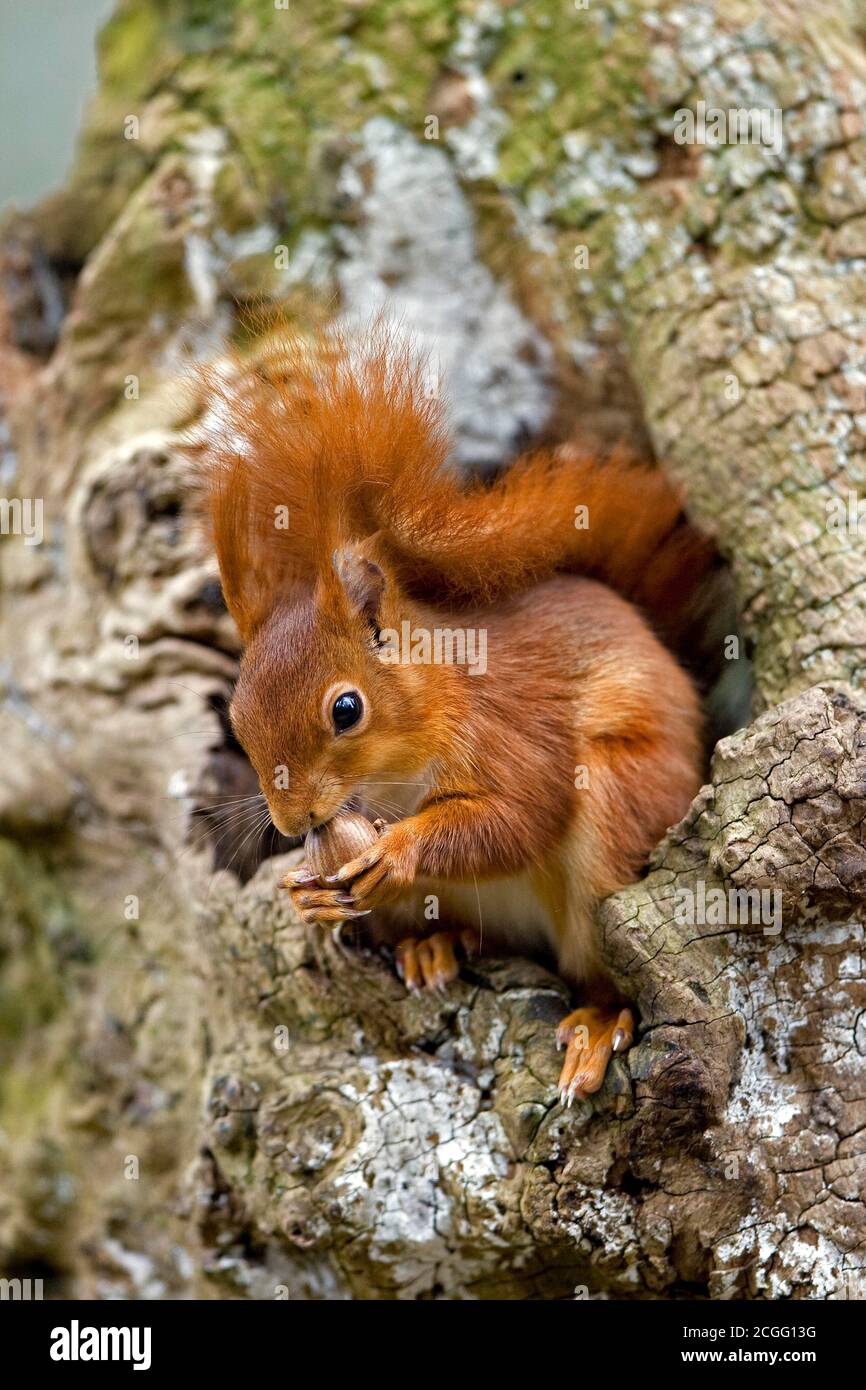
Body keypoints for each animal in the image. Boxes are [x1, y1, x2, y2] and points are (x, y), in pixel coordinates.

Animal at [199, 326, 715, 1104]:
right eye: (236, 719)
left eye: (346, 708)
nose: (293, 824)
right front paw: (301, 893)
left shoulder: (510, 726)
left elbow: (521, 814)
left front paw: (398, 852)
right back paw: (431, 944)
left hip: (620, 813)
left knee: (601, 962)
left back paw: (598, 1024)